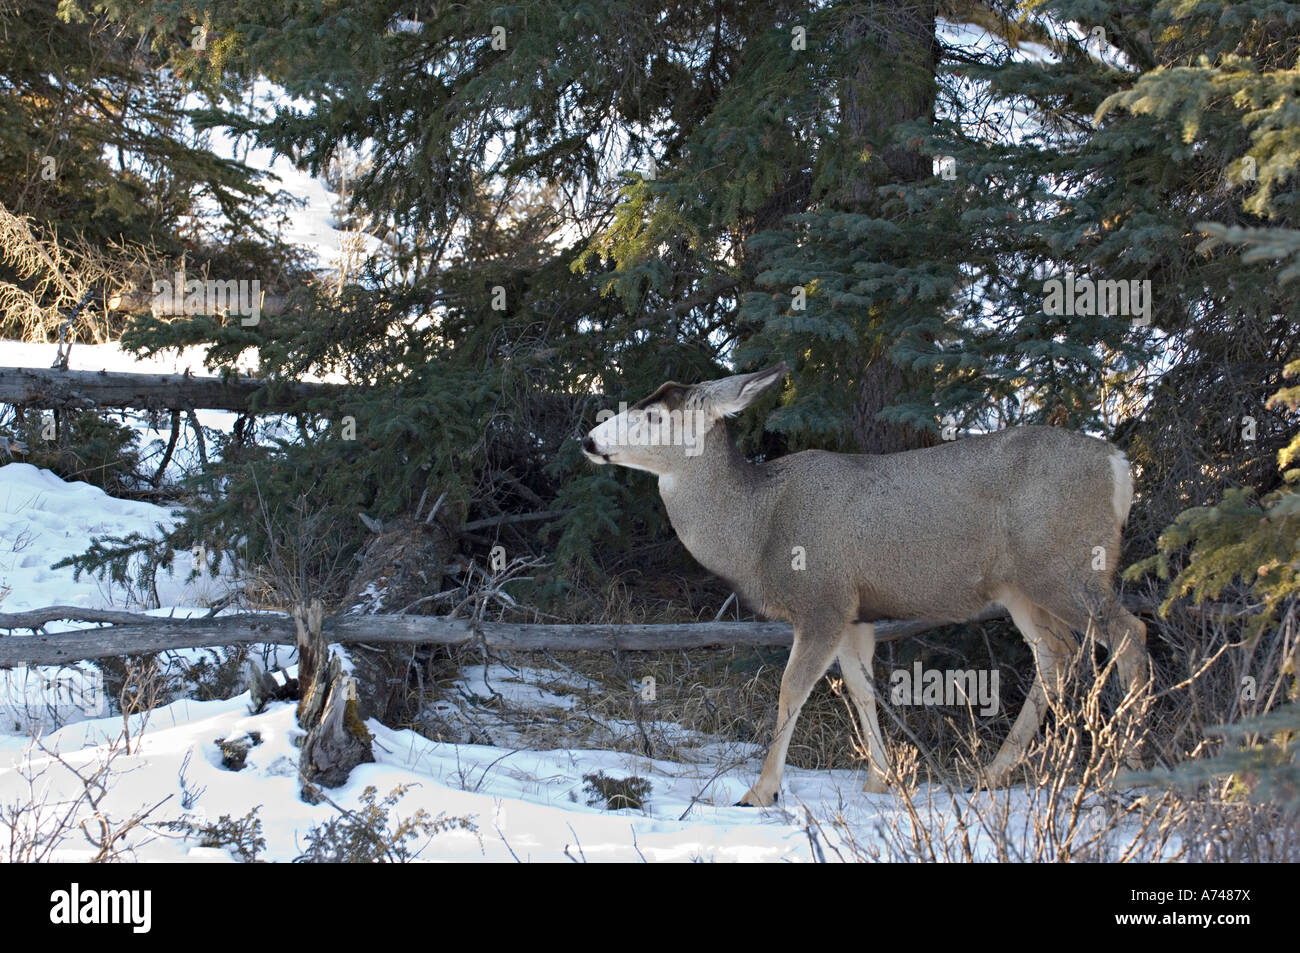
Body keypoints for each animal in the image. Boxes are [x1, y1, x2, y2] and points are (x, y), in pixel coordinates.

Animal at [581, 362, 1151, 807]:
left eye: (655, 416)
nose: (588, 440)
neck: (759, 526)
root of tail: (1121, 465)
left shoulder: (823, 601)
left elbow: (792, 688)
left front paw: (762, 790)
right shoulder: (857, 613)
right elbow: (860, 687)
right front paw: (882, 778)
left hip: (1067, 569)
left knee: (1129, 633)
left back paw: (1128, 771)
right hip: (1021, 589)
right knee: (1056, 655)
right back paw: (990, 775)